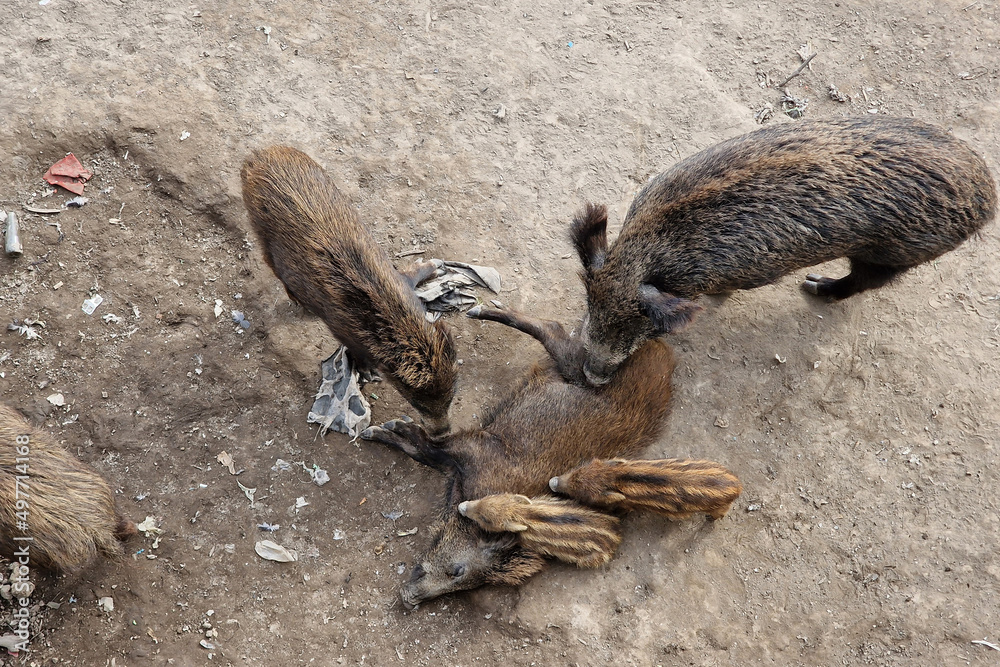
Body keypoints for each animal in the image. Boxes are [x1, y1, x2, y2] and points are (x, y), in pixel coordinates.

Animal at [241, 146, 458, 434]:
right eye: (416, 402)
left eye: (451, 397)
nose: (442, 434)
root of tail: (256, 156)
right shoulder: (341, 331)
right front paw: (369, 375)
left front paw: (437, 266)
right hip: (259, 230)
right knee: (270, 263)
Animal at [549, 458, 743, 520]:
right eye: (579, 469)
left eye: (585, 496)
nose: (552, 482)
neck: (618, 478)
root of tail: (738, 485)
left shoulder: (627, 506)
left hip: (719, 508)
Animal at [572, 116, 997, 384]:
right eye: (590, 303)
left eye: (642, 322)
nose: (591, 378)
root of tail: (986, 196)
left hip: (893, 253)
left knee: (864, 281)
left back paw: (814, 285)